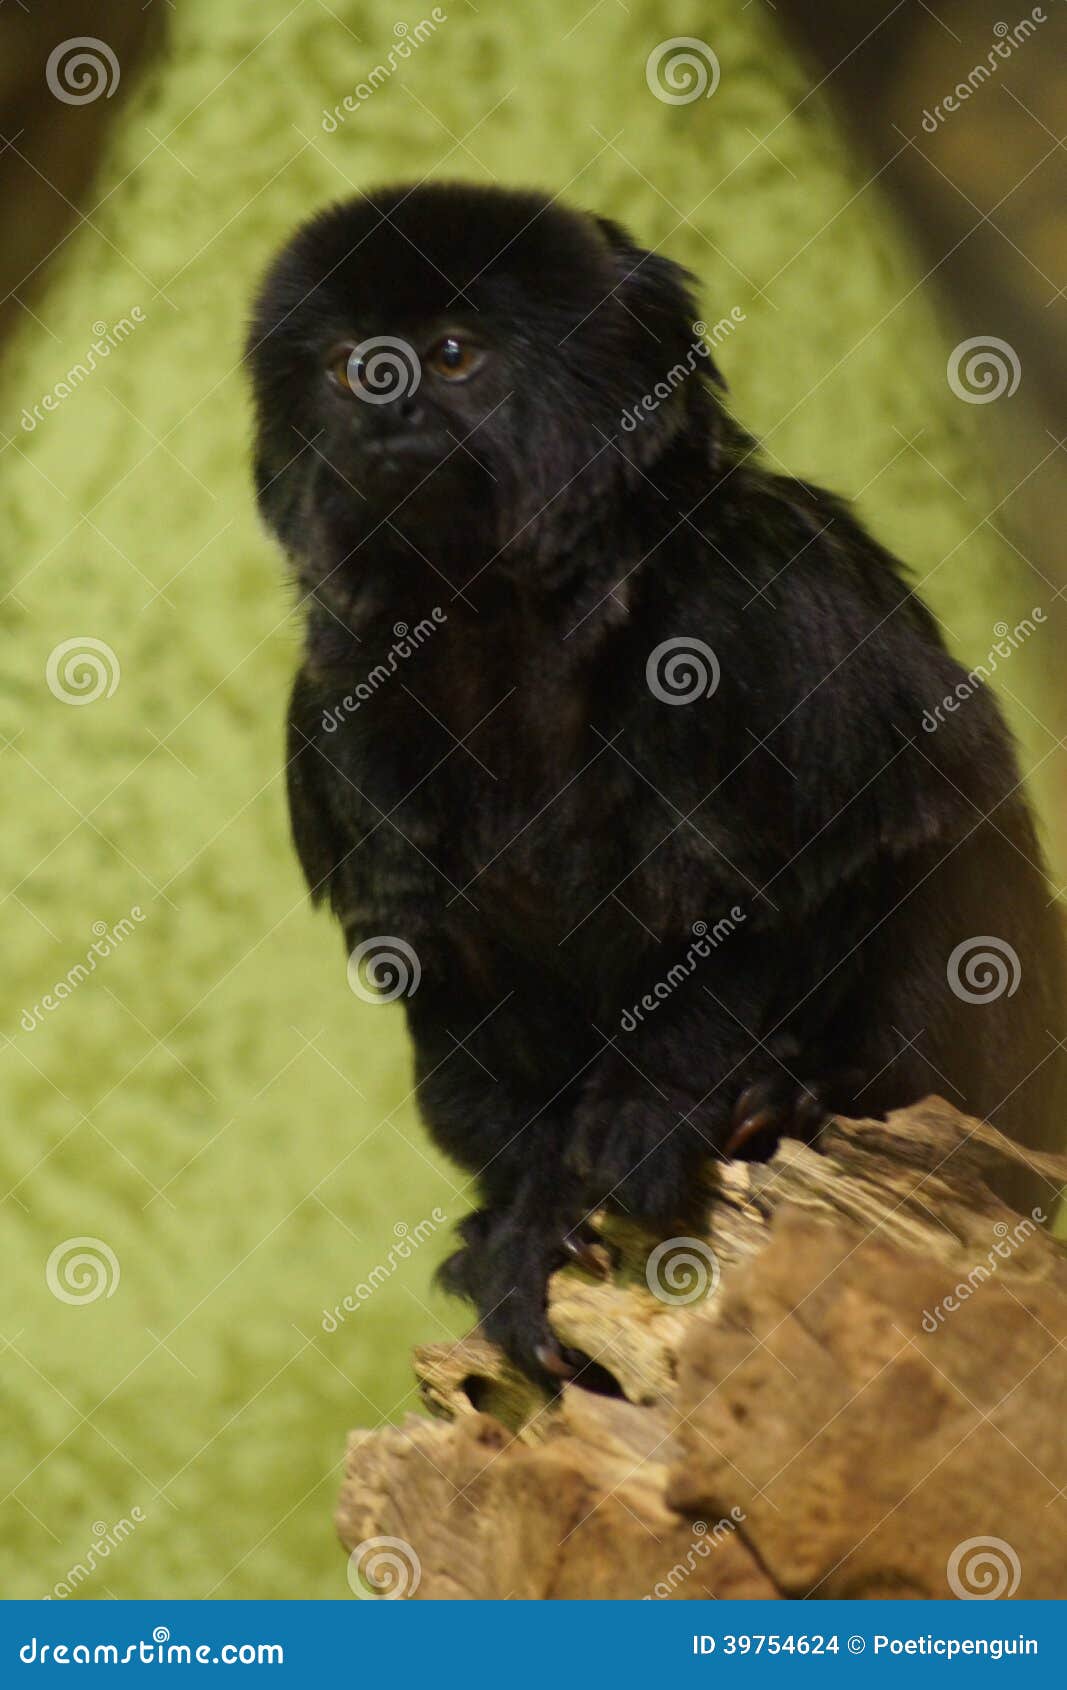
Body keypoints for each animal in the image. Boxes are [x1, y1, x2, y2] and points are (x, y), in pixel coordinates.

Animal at [247, 181, 1066, 1384]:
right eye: (356, 364)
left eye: (449, 355)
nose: (382, 403)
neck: (502, 624)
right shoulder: (332, 717)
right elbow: (454, 976)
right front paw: (530, 1224)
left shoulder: (750, 604)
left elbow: (786, 876)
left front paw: (662, 1111)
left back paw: (806, 1097)